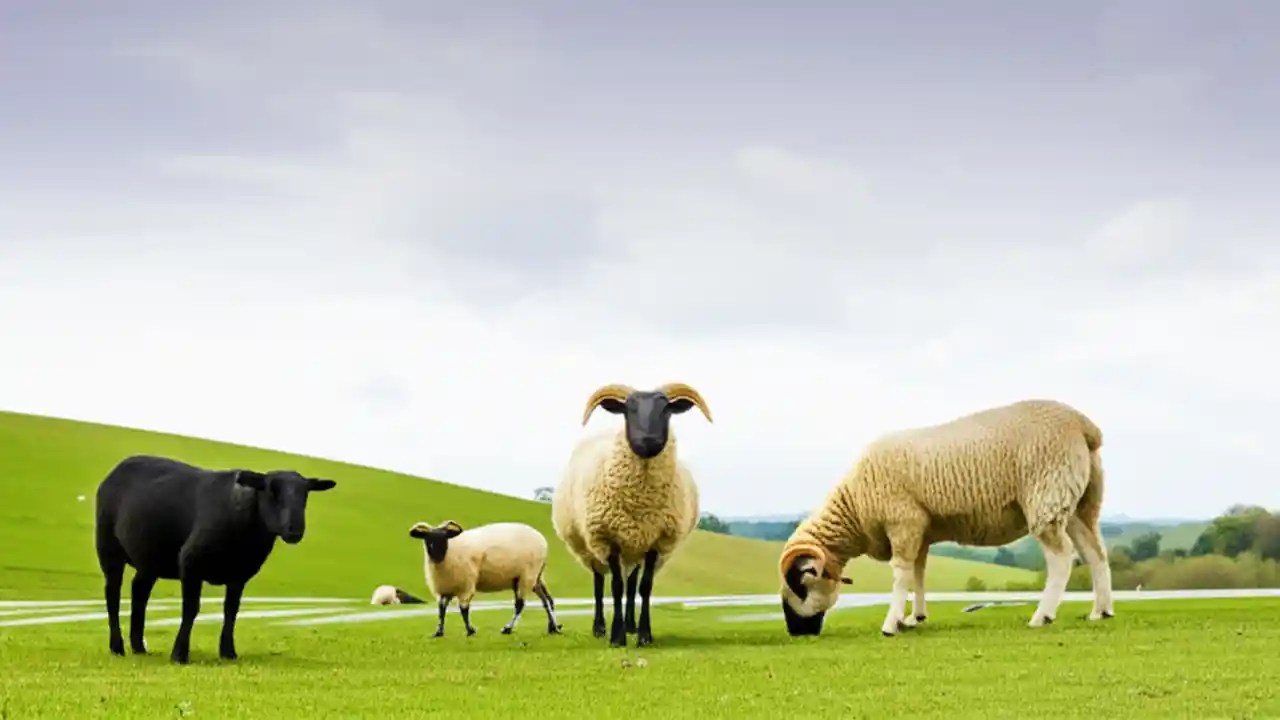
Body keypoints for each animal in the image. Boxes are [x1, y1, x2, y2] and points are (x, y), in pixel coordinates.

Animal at [94, 454, 337, 663]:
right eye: (270, 491)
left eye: (305, 495)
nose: (295, 530)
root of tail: (118, 468)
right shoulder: (190, 562)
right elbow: (191, 609)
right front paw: (179, 654)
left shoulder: (239, 574)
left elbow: (231, 611)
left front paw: (228, 652)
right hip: (108, 546)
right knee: (112, 594)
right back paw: (117, 647)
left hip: (150, 556)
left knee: (139, 591)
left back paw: (139, 647)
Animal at [407, 520, 562, 637]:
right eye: (427, 538)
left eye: (444, 537)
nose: (436, 556)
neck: (449, 552)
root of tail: (541, 538)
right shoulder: (445, 588)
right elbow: (441, 609)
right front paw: (438, 632)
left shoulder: (466, 584)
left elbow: (463, 609)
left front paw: (470, 631)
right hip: (535, 577)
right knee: (547, 600)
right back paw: (553, 627)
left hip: (527, 575)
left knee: (520, 604)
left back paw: (507, 628)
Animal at [551, 382, 712, 648]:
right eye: (628, 409)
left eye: (666, 409)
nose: (648, 440)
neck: (640, 501)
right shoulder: (609, 539)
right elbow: (615, 587)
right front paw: (617, 637)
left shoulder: (655, 540)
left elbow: (644, 587)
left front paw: (644, 634)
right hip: (591, 546)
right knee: (598, 582)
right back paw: (600, 628)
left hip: (635, 548)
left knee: (632, 583)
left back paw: (631, 625)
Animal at [778, 398, 1113, 638]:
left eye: (800, 586)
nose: (795, 632)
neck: (854, 506)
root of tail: (1085, 426)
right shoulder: (921, 530)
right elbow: (918, 573)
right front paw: (914, 618)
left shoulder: (903, 522)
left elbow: (901, 573)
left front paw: (891, 624)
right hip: (1081, 502)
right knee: (1095, 553)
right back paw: (1101, 612)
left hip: (1047, 495)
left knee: (1062, 557)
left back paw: (1042, 616)